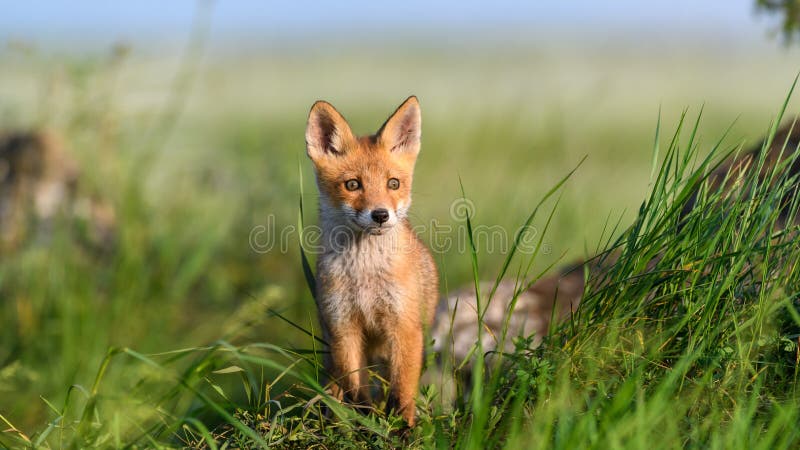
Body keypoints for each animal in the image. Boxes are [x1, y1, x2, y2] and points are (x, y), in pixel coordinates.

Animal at [305, 96, 439, 426]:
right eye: (353, 185)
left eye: (393, 183)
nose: (380, 215)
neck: (364, 276)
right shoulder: (344, 327)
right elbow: (357, 391)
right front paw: (365, 423)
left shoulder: (404, 326)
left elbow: (402, 391)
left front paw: (403, 428)